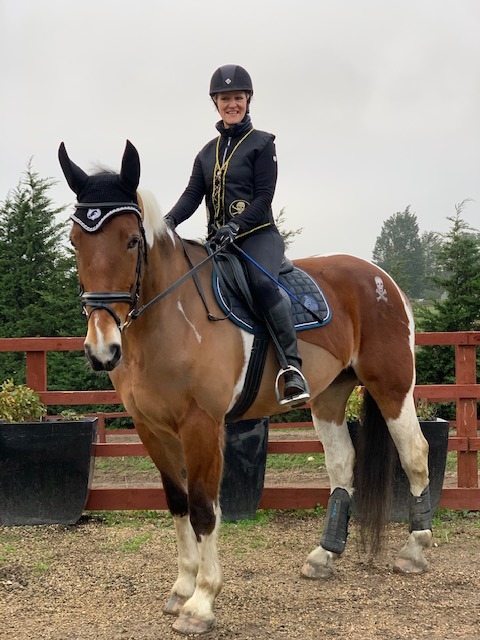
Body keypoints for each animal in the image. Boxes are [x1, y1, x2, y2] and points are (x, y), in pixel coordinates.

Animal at [58, 140, 433, 635]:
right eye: (74, 242)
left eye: (132, 241)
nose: (102, 350)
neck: (169, 317)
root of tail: (383, 278)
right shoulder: (151, 429)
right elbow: (177, 502)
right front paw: (181, 587)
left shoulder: (201, 425)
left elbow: (204, 507)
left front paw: (201, 602)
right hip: (328, 397)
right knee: (342, 464)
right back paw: (324, 556)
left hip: (392, 388)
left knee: (415, 455)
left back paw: (414, 550)